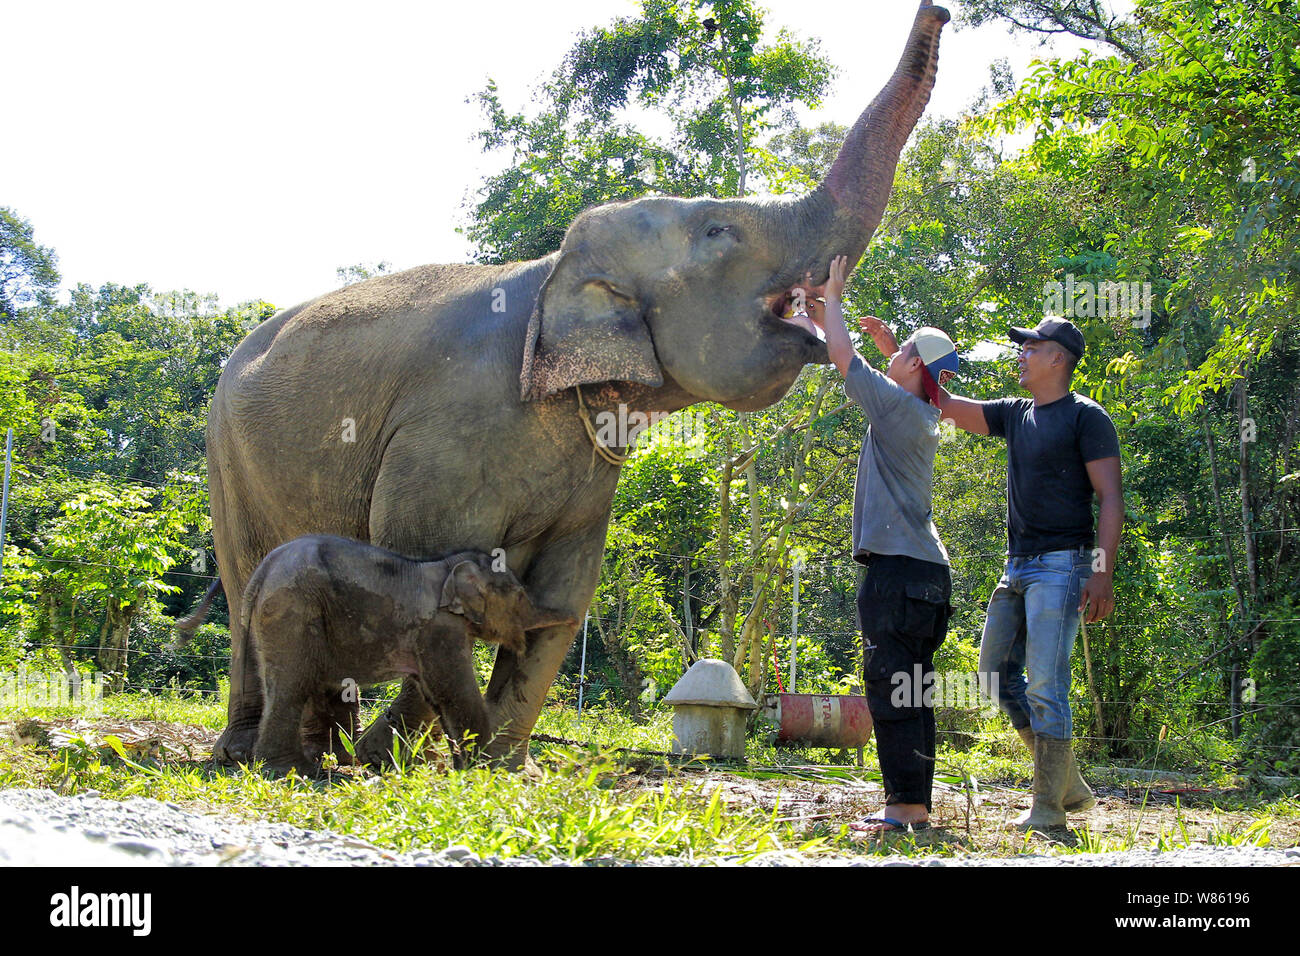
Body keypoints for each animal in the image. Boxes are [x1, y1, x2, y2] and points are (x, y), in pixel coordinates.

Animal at [246, 535, 575, 773]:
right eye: (518, 596)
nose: (574, 619)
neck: (446, 567)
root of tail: (263, 569)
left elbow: (435, 695)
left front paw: (461, 768)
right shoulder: (438, 628)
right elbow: (456, 692)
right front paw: (482, 773)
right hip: (292, 609)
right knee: (293, 685)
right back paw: (292, 770)